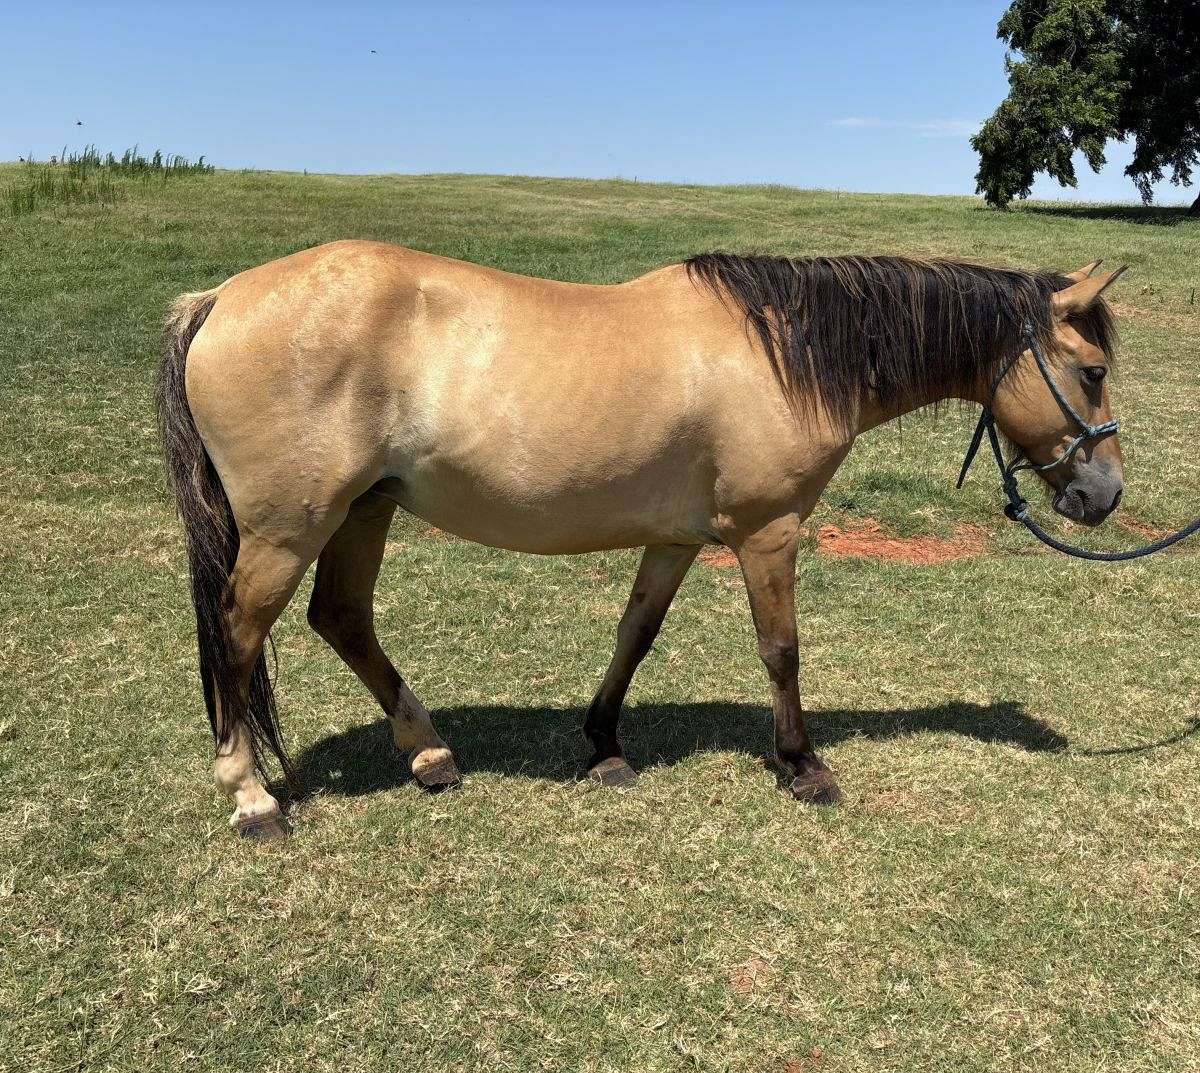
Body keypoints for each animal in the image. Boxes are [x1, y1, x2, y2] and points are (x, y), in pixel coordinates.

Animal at [156, 243, 1124, 838]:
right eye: (1093, 370)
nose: (1104, 494)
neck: (779, 354)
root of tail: (219, 299)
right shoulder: (767, 532)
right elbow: (780, 649)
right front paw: (802, 764)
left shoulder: (677, 539)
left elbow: (636, 631)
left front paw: (605, 745)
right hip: (291, 526)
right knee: (239, 631)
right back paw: (250, 795)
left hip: (364, 508)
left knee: (342, 618)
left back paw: (429, 753)